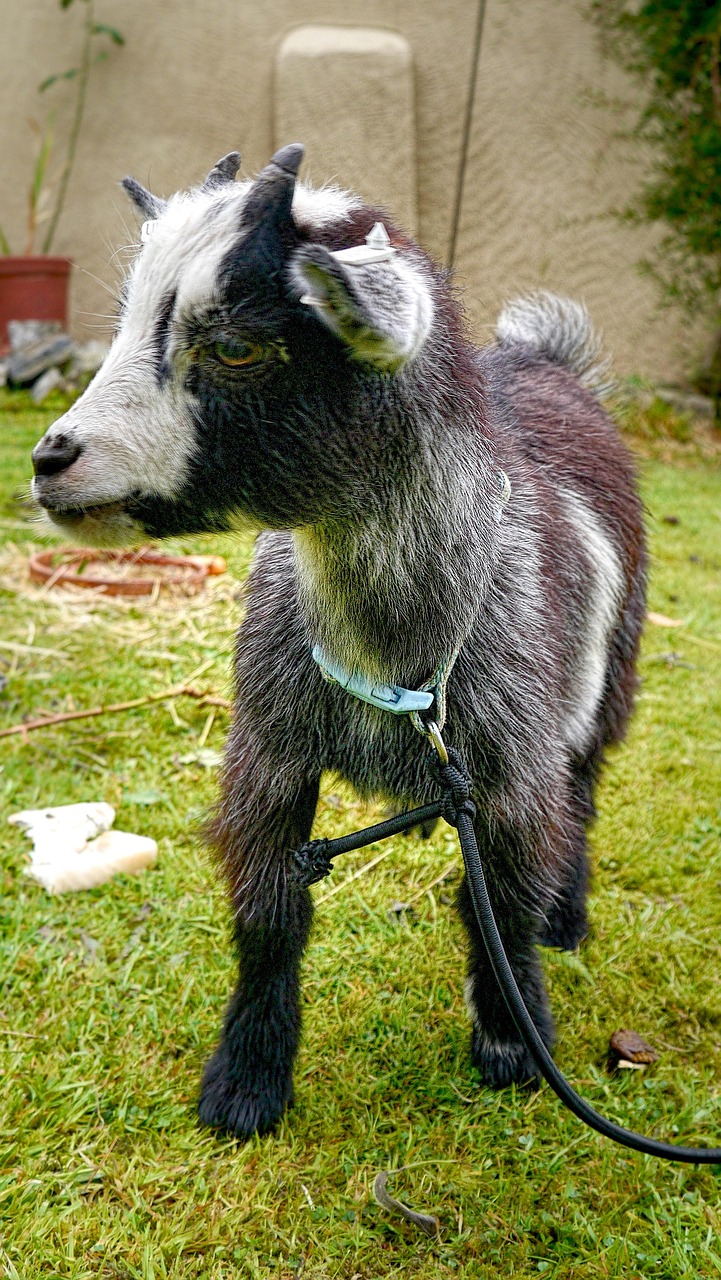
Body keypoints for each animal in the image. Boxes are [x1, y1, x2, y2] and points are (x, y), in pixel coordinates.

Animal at [31, 146, 647, 1138]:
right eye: (123, 318)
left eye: (237, 345)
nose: (50, 461)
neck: (393, 656)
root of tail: (541, 357)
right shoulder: (269, 750)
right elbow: (268, 915)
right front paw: (245, 1082)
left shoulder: (513, 766)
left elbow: (503, 907)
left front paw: (512, 1038)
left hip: (607, 679)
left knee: (584, 791)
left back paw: (568, 914)